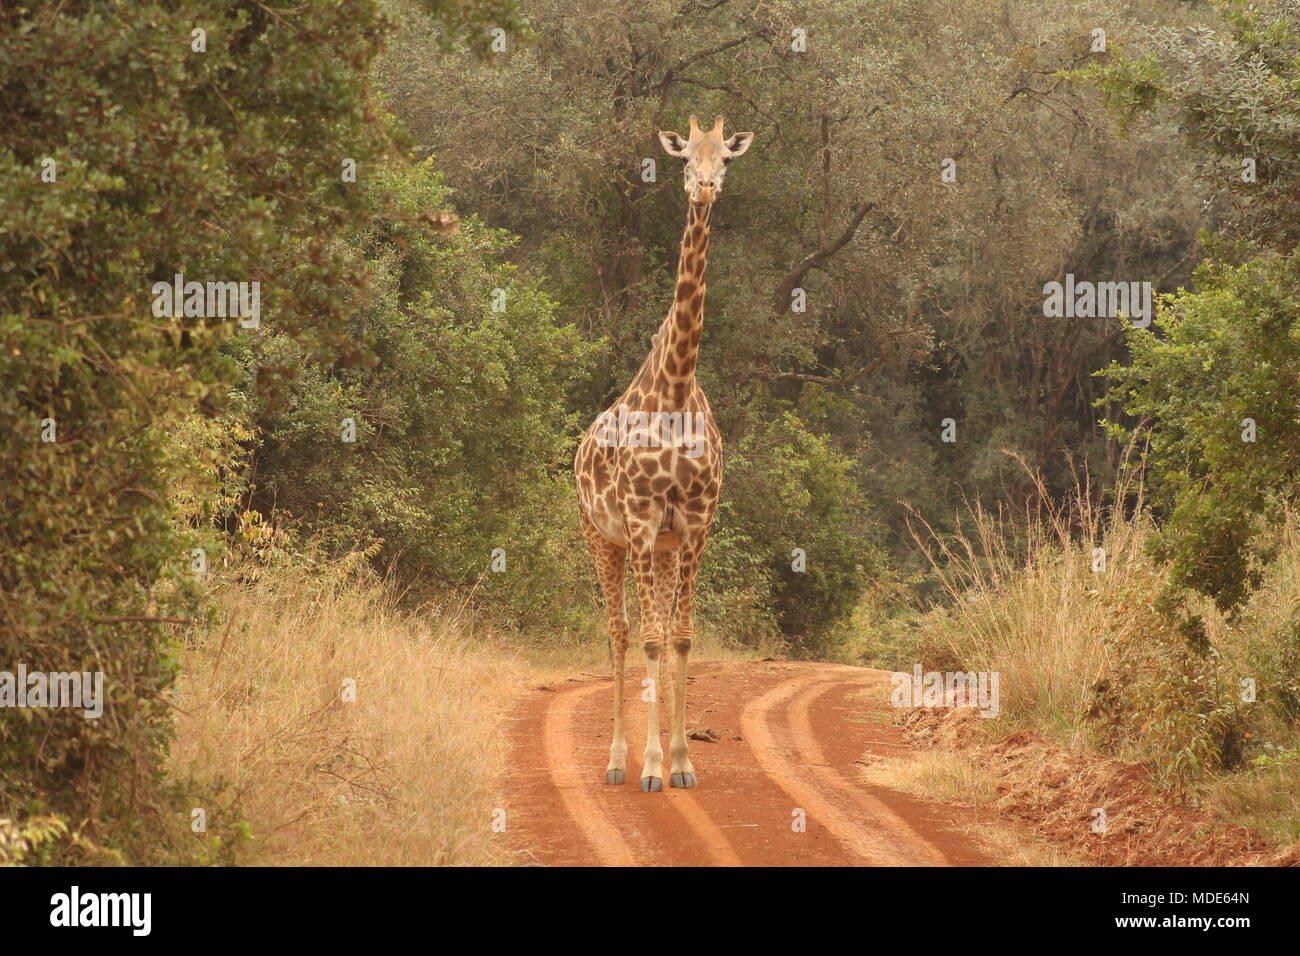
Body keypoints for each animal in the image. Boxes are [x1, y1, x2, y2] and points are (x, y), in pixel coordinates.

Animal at [575, 115, 754, 792]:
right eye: (682, 160)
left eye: (724, 159)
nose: (703, 188)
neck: (676, 387)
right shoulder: (643, 521)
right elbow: (651, 637)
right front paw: (651, 766)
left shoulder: (695, 524)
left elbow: (681, 636)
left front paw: (681, 762)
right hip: (602, 537)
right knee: (619, 632)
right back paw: (616, 761)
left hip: (660, 545)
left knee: (644, 631)